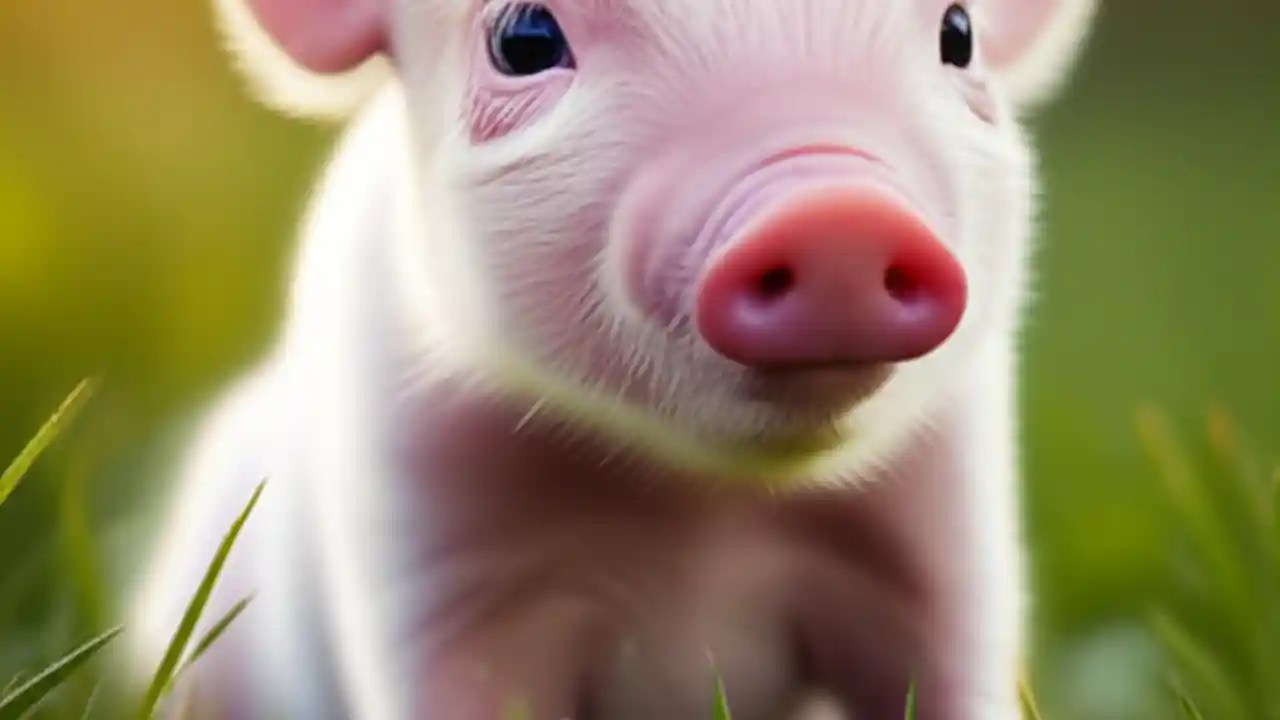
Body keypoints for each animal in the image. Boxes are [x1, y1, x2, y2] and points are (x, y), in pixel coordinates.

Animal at [132, 0, 1098, 718]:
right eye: (524, 38)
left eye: (957, 33)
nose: (838, 214)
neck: (703, 507)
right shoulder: (435, 566)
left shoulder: (942, 530)